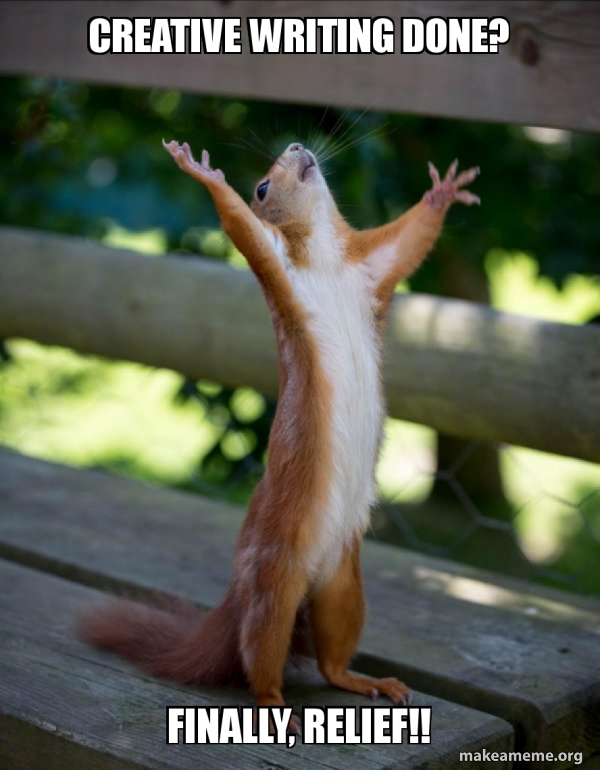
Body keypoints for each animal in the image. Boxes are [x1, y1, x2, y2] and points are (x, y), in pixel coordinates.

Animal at [78, 138, 479, 733]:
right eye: (262, 187)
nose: (296, 146)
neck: (326, 257)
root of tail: (239, 596)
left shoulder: (372, 267)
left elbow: (409, 241)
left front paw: (443, 192)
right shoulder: (277, 265)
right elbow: (240, 226)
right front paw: (204, 174)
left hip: (344, 586)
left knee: (331, 659)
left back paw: (366, 681)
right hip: (274, 583)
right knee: (258, 656)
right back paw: (274, 706)